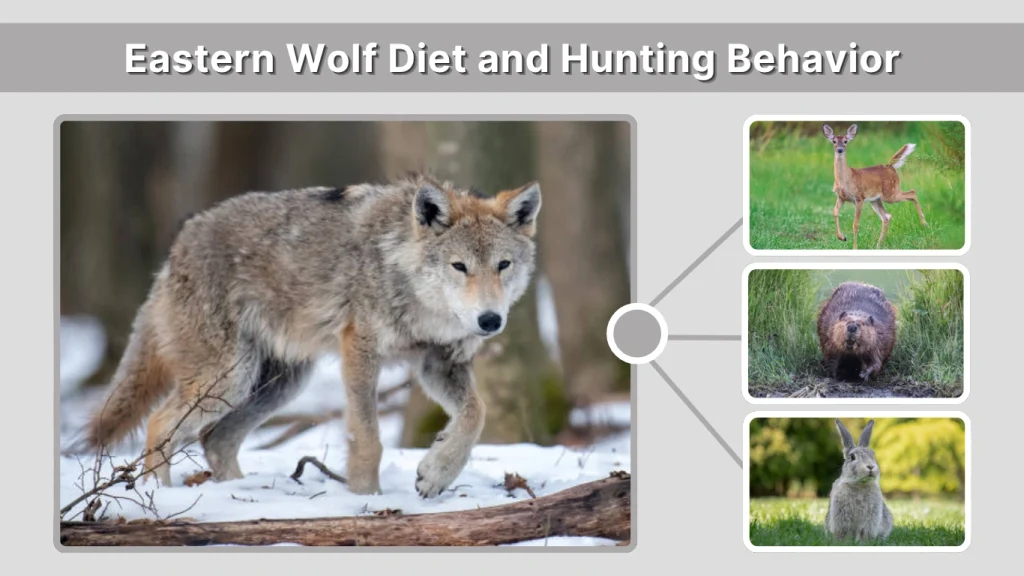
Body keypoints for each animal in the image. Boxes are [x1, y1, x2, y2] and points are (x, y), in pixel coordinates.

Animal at [77, 174, 543, 498]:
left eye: (502, 265)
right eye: (459, 266)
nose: (489, 321)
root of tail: (177, 247)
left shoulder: (439, 363)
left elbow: (475, 414)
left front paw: (437, 473)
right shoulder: (361, 350)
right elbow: (368, 439)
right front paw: (366, 500)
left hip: (277, 386)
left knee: (215, 439)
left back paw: (238, 495)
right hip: (230, 380)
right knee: (160, 423)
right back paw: (161, 495)